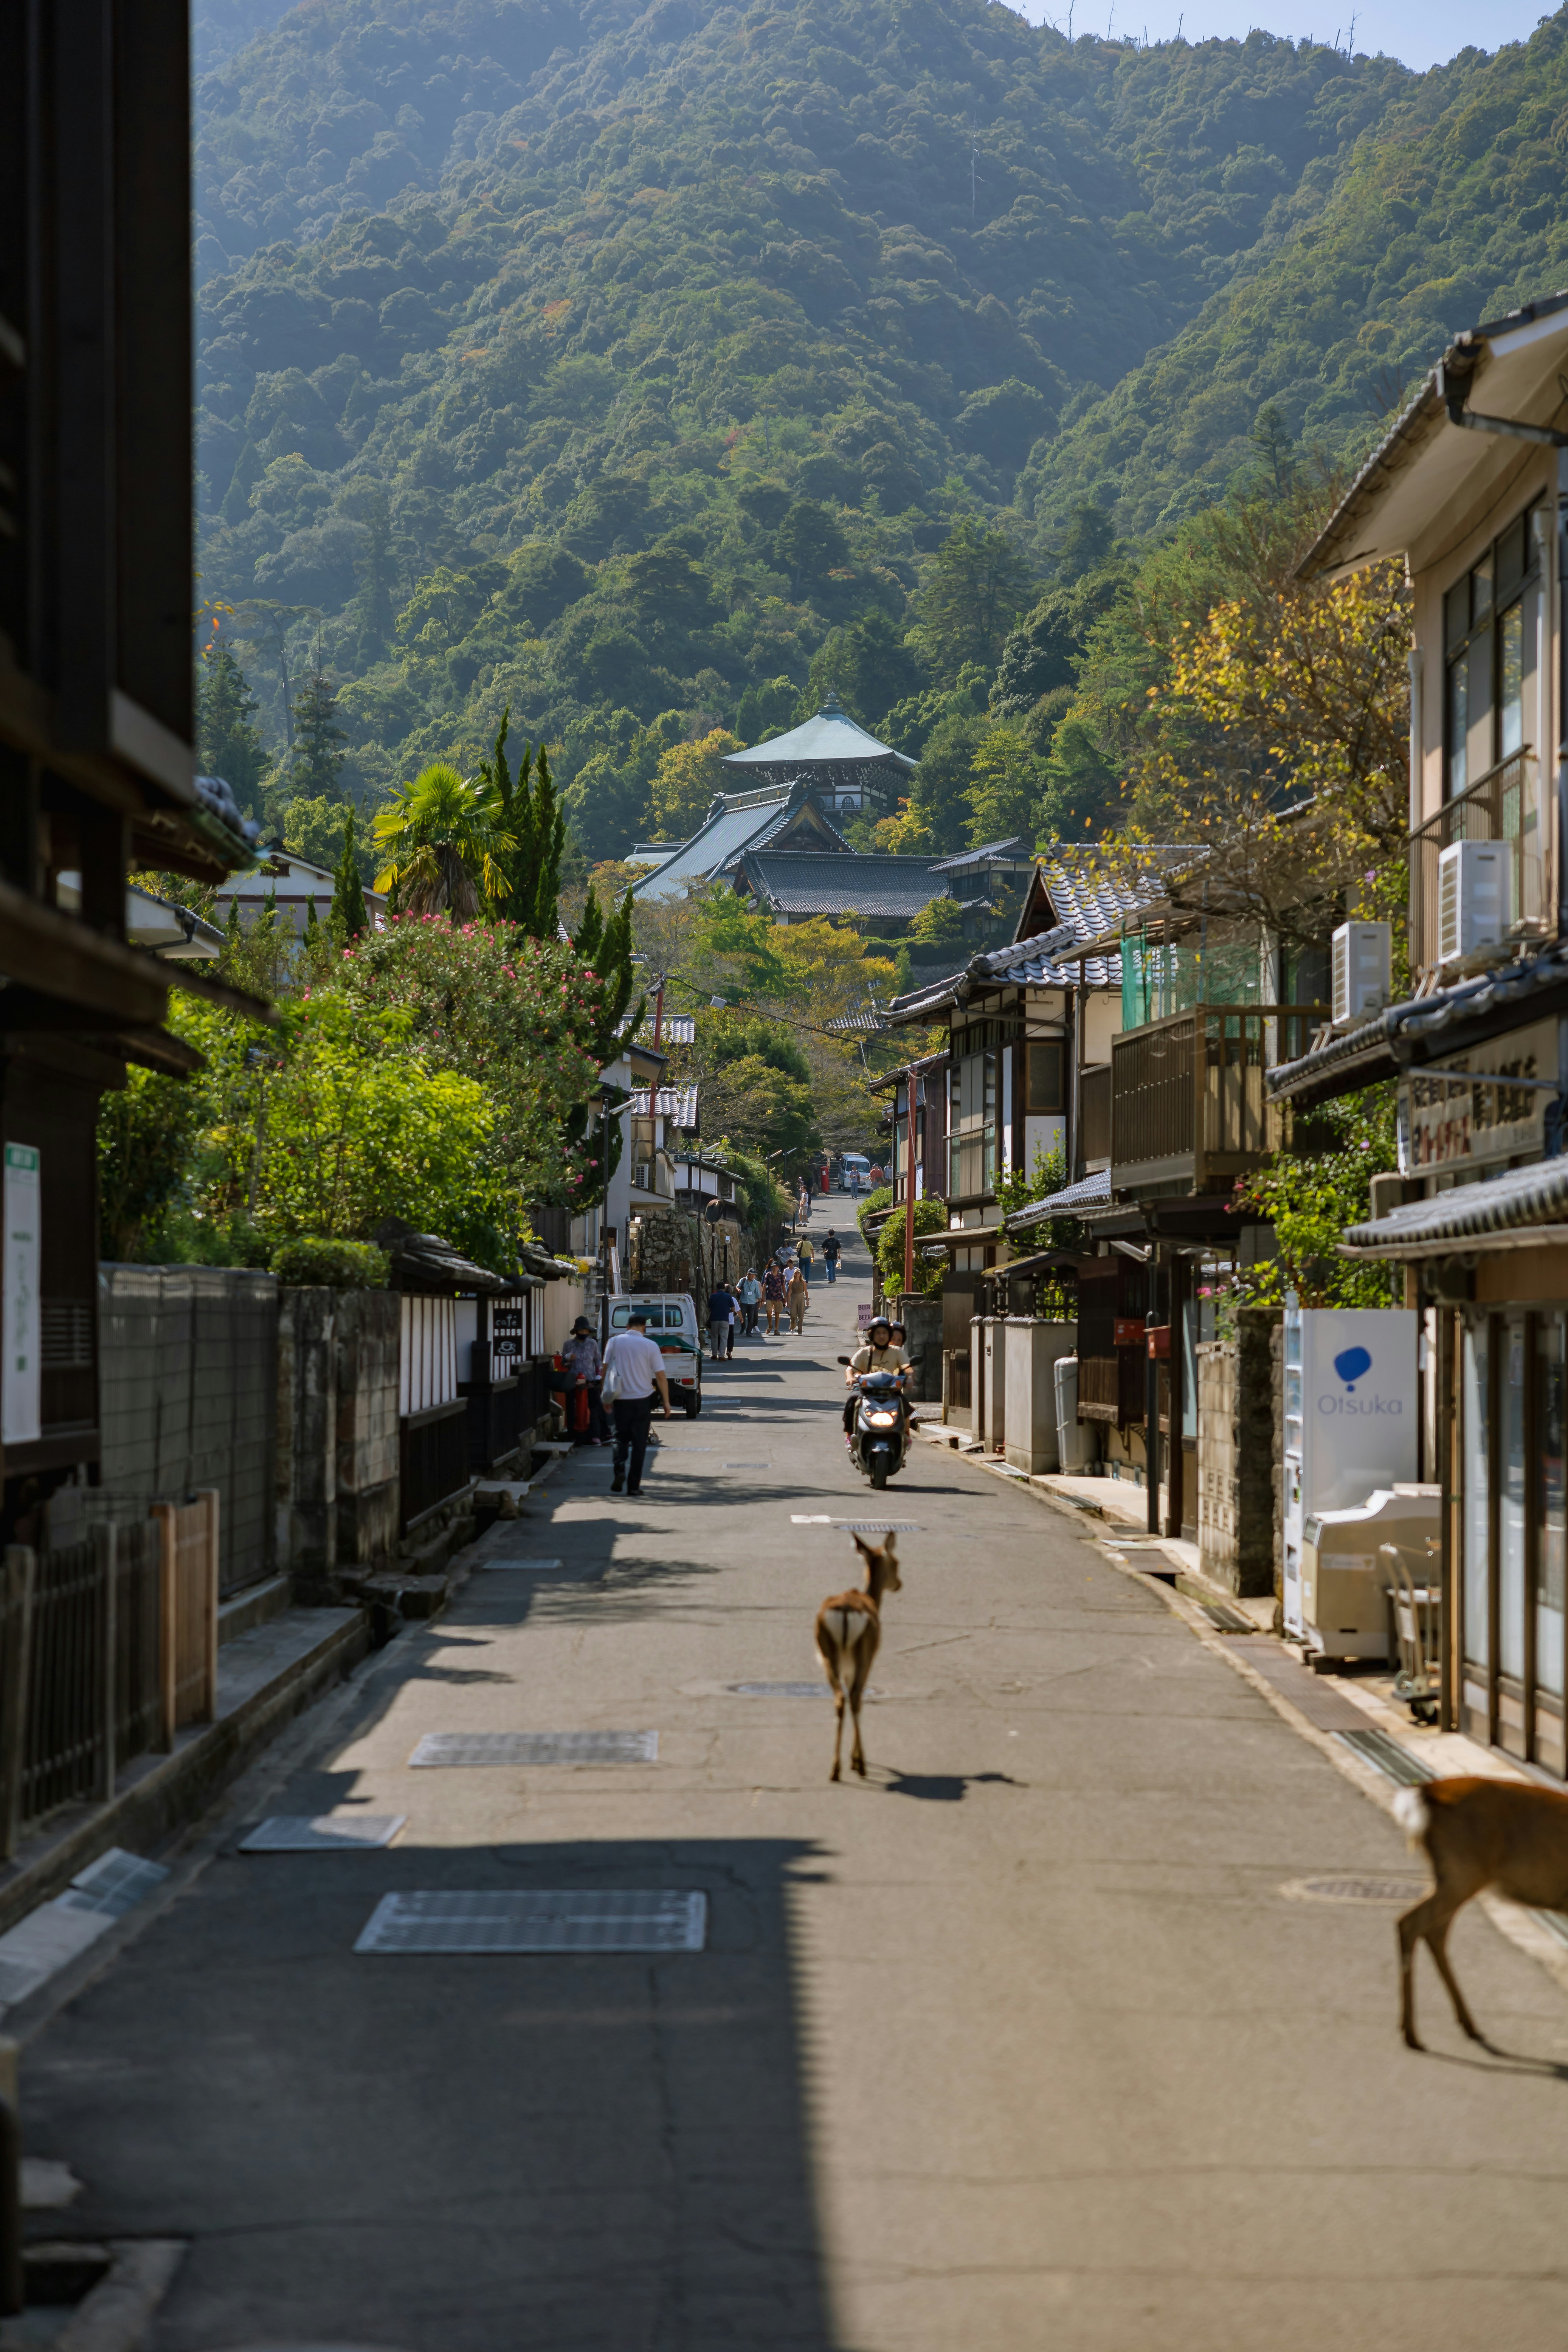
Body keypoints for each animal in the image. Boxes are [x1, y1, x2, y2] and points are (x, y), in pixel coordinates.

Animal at [815, 1532, 902, 1782]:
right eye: (896, 1563)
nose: (899, 1584)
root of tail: (846, 1612)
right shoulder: (867, 1660)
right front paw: (855, 1760)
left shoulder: (846, 1668)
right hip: (864, 1653)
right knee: (855, 1698)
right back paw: (860, 1764)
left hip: (829, 1655)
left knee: (839, 1699)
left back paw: (835, 1769)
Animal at [1393, 1775, 1568, 2050]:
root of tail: (1426, 1790)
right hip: (1464, 1871)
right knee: (1410, 1923)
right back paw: (1412, 2033)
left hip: (1452, 1875)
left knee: (1433, 1930)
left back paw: (1464, 2024)